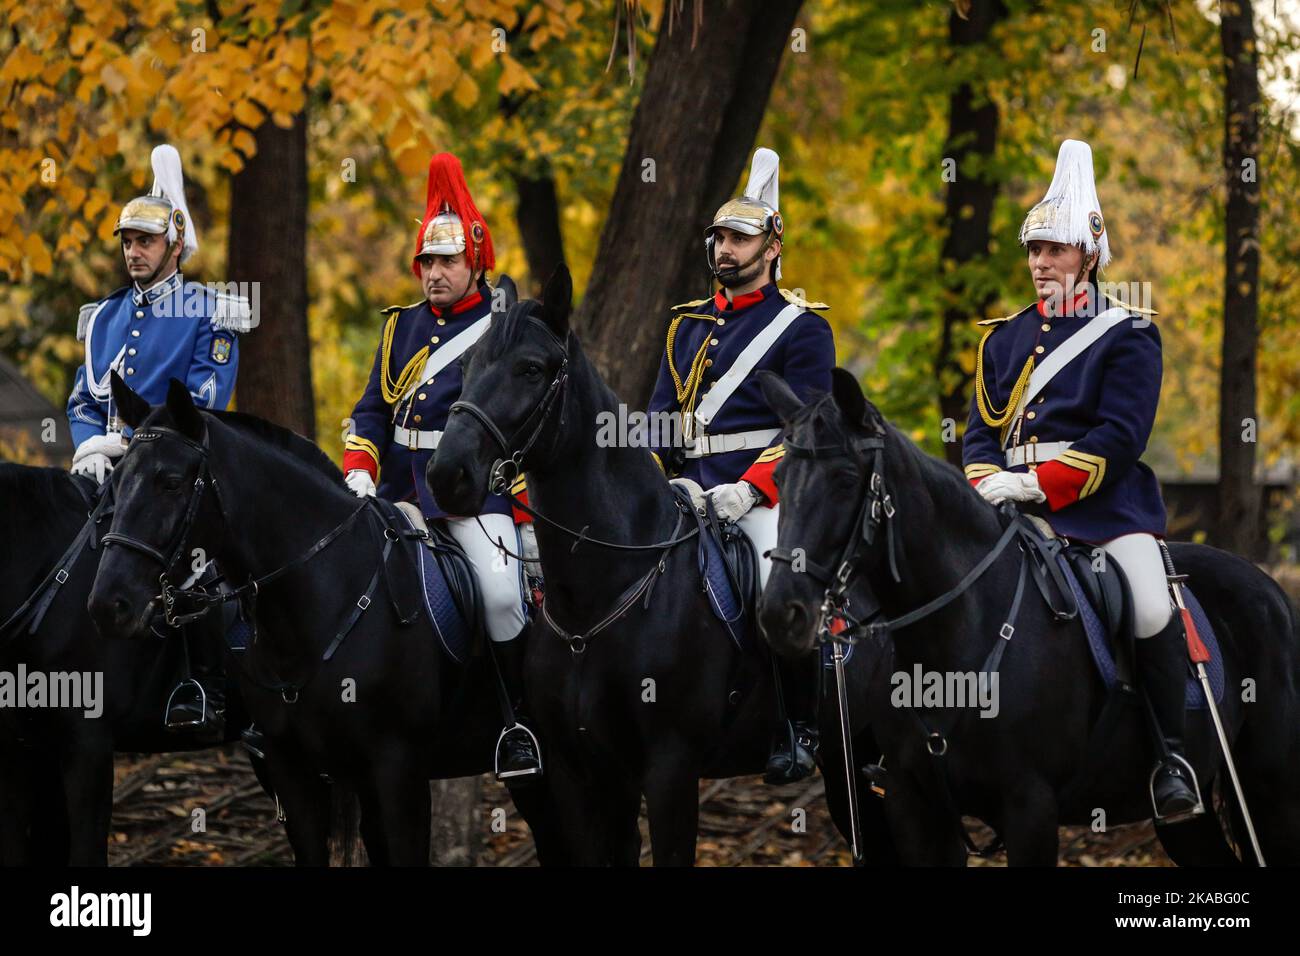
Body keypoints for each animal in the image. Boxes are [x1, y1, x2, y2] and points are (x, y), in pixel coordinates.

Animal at [427, 265, 898, 865]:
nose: (447, 475)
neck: (597, 599)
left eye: (530, 368)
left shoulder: (671, 771)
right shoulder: (582, 774)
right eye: (466, 367)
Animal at [756, 368, 1300, 865]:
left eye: (845, 479)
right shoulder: (916, 809)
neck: (957, 634)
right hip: (1191, 823)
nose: (780, 613)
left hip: (1272, 791)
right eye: (778, 480)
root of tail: (1272, 590)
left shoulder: (1030, 808)